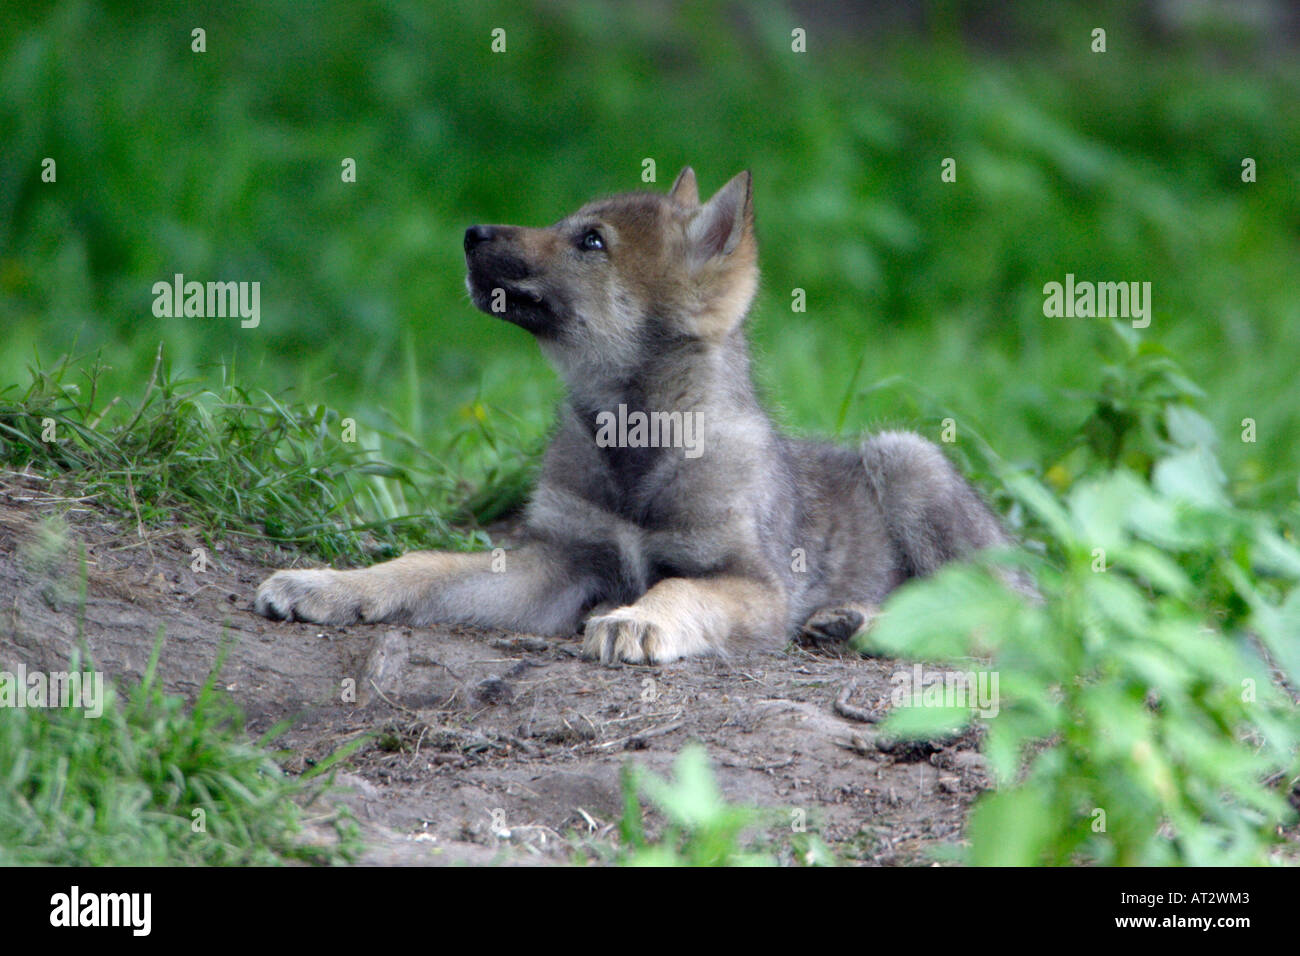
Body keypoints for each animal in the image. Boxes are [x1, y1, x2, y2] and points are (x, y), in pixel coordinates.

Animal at [255, 168, 1010, 664]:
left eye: (591, 242)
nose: (469, 232)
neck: (633, 439)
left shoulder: (751, 584)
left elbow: (677, 588)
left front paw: (637, 622)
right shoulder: (556, 561)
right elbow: (426, 567)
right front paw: (329, 585)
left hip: (902, 453)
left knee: (1003, 613)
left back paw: (870, 624)